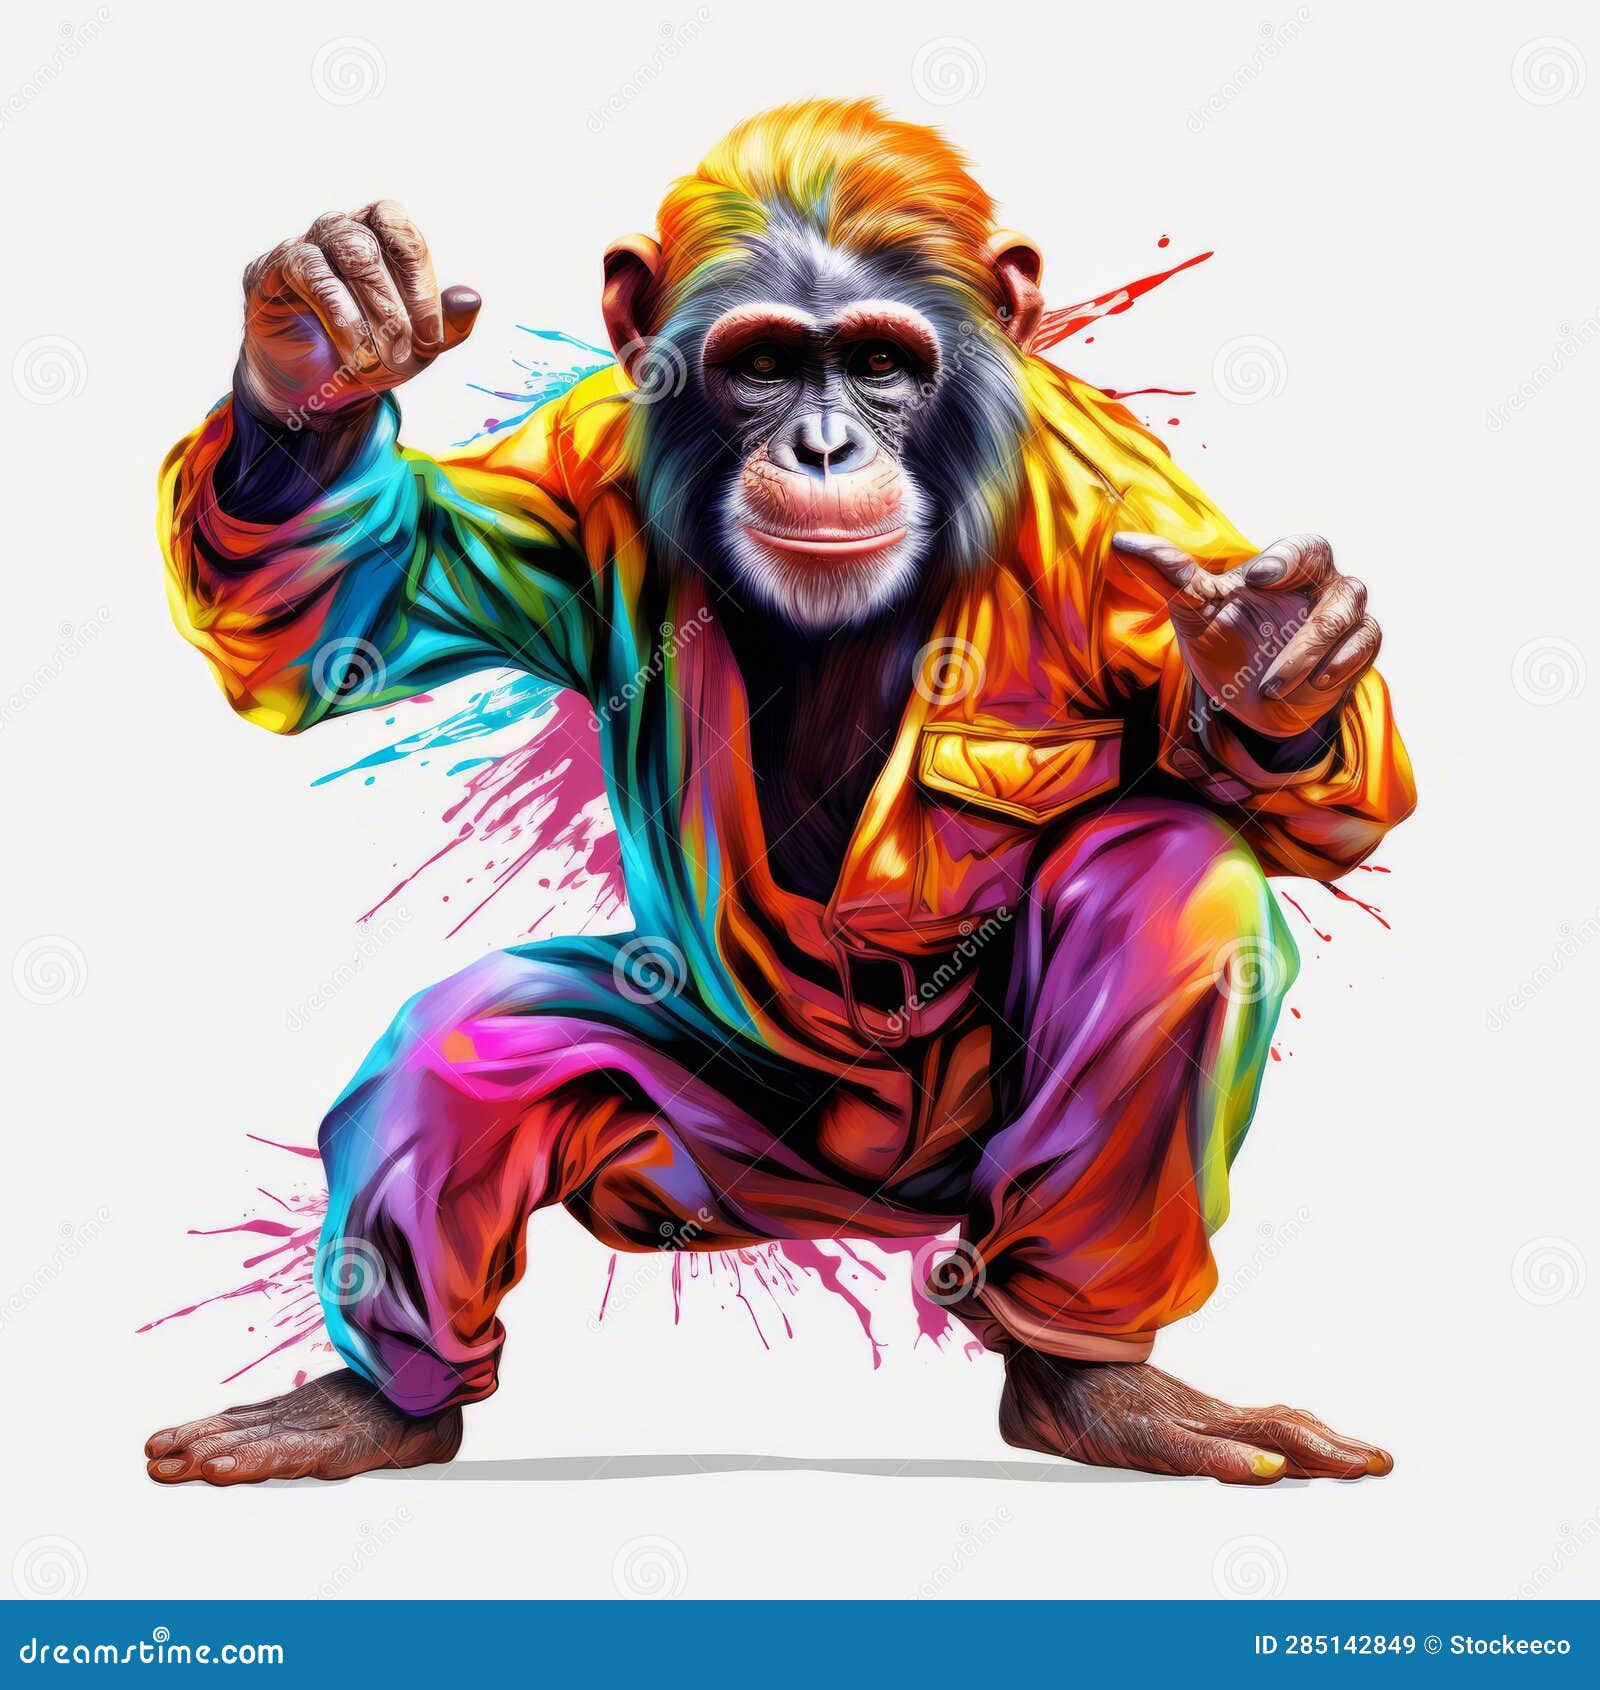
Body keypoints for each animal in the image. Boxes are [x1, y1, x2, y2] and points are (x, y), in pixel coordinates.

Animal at [148, 99, 1415, 1488]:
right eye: (761, 364)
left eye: (877, 362)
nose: (820, 444)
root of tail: (869, 1205)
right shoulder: (573, 472)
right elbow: (355, 608)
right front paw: (319, 322)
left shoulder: (1125, 509)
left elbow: (1308, 820)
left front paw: (1271, 657)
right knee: (463, 1053)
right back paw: (377, 1405)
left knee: (1168, 875)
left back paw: (1094, 1380)